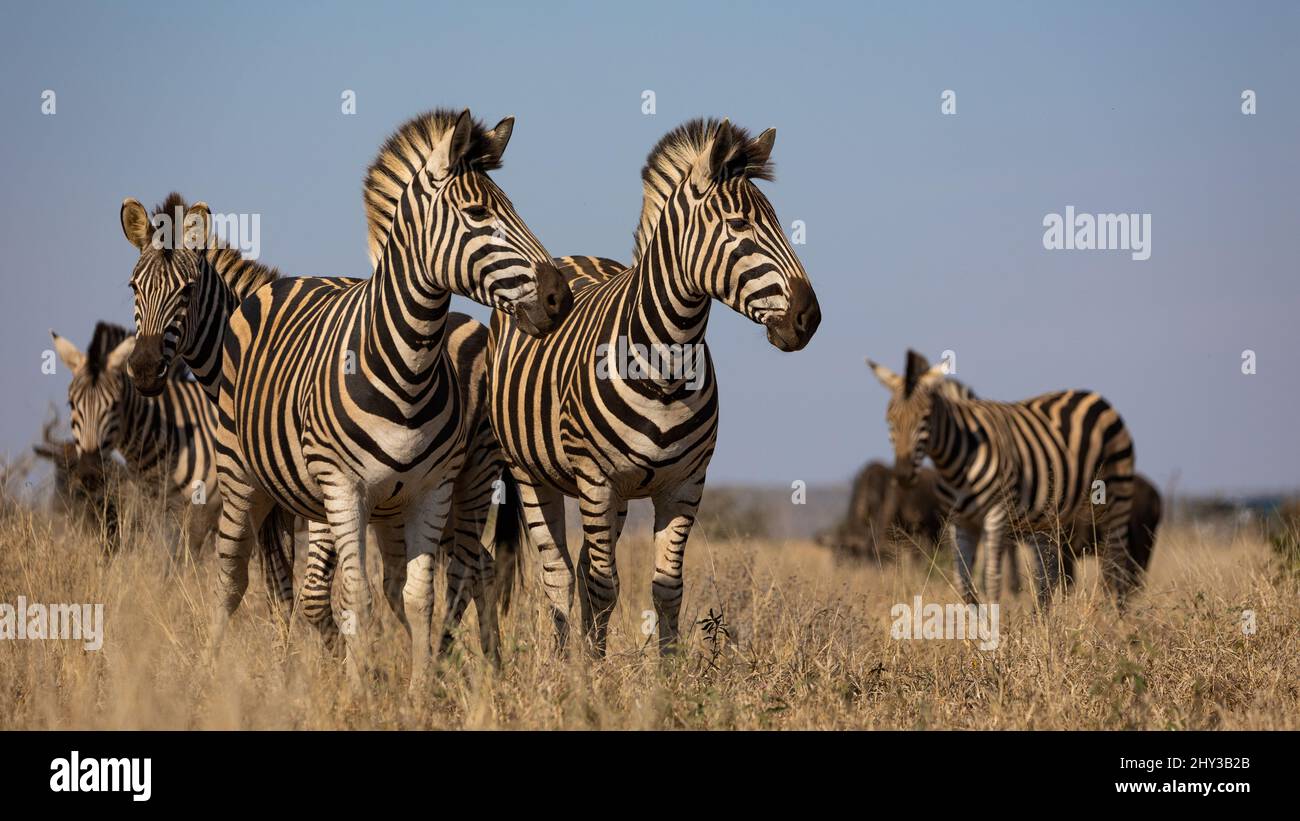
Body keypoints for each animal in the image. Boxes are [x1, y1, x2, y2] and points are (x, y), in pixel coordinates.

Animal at [49, 322, 224, 565]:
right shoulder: (162, 510)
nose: (90, 473)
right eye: (71, 404)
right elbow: (171, 559)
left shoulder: (208, 509)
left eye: (114, 405)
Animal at [210, 108, 571, 681]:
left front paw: (421, 683)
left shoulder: (431, 490)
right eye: (477, 213)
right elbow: (355, 595)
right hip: (241, 475)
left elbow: (418, 595)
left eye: (515, 209)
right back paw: (209, 667)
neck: (408, 372)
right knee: (231, 578)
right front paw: (357, 685)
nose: (561, 297)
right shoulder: (343, 489)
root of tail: (289, 279)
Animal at [488, 118, 821, 656]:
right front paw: (593, 676)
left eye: (777, 220)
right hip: (532, 474)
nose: (809, 319)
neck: (666, 361)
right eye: (740, 225)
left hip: (618, 496)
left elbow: (667, 589)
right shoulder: (596, 479)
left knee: (584, 568)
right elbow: (604, 586)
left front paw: (667, 672)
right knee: (560, 574)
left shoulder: (685, 485)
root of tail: (575, 256)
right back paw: (561, 664)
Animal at [865, 350, 1138, 608]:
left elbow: (991, 580)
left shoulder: (996, 515)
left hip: (1117, 499)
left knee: (1117, 565)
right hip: (1048, 519)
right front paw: (978, 625)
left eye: (925, 418)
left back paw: (1117, 619)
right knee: (1048, 578)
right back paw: (1041, 620)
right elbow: (964, 584)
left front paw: (993, 626)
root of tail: (1095, 397)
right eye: (890, 420)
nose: (902, 474)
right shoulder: (960, 522)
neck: (957, 463)